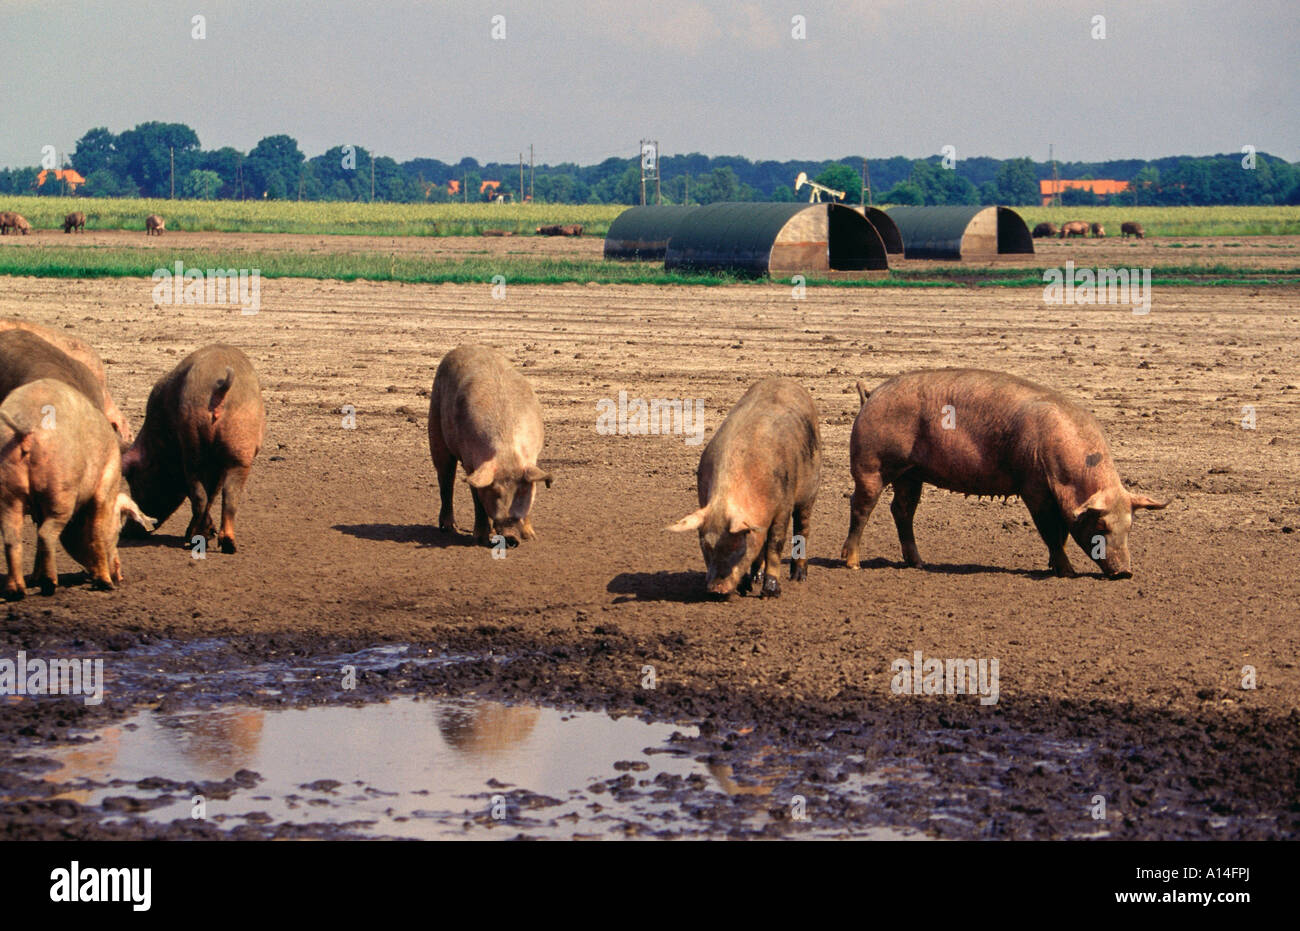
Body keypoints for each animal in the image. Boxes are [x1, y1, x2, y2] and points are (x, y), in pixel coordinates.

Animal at [0, 379, 154, 599]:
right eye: (118, 528)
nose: (120, 576)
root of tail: (26, 429)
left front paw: (34, 580)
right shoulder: (105, 485)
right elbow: (97, 531)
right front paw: (106, 584)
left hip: (8, 491)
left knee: (12, 538)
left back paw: (17, 591)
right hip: (61, 487)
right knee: (46, 534)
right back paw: (49, 585)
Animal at [121, 345, 265, 554]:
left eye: (135, 483)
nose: (126, 533)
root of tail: (219, 390)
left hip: (211, 447)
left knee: (210, 496)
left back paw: (209, 541)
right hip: (227, 448)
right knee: (220, 496)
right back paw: (215, 542)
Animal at [429, 345, 552, 546]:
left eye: (522, 492)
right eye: (494, 491)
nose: (510, 537)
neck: (507, 451)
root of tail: (464, 346)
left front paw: (531, 537)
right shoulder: (472, 463)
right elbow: (477, 500)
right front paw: (480, 539)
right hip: (435, 427)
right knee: (445, 478)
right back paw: (448, 528)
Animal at [669, 377, 821, 598]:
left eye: (737, 545)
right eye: (705, 546)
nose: (716, 589)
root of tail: (786, 381)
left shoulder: (783, 505)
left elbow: (776, 543)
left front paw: (771, 592)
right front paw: (745, 587)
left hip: (810, 490)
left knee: (803, 527)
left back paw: (798, 577)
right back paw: (756, 578)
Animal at [840, 369, 1166, 579]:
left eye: (1130, 527)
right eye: (1100, 526)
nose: (1125, 572)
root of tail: (871, 395)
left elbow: (1060, 534)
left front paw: (1056, 568)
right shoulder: (1034, 487)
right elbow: (1051, 531)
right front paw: (1068, 572)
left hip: (911, 474)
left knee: (902, 509)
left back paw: (919, 564)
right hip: (871, 462)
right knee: (861, 505)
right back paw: (853, 564)